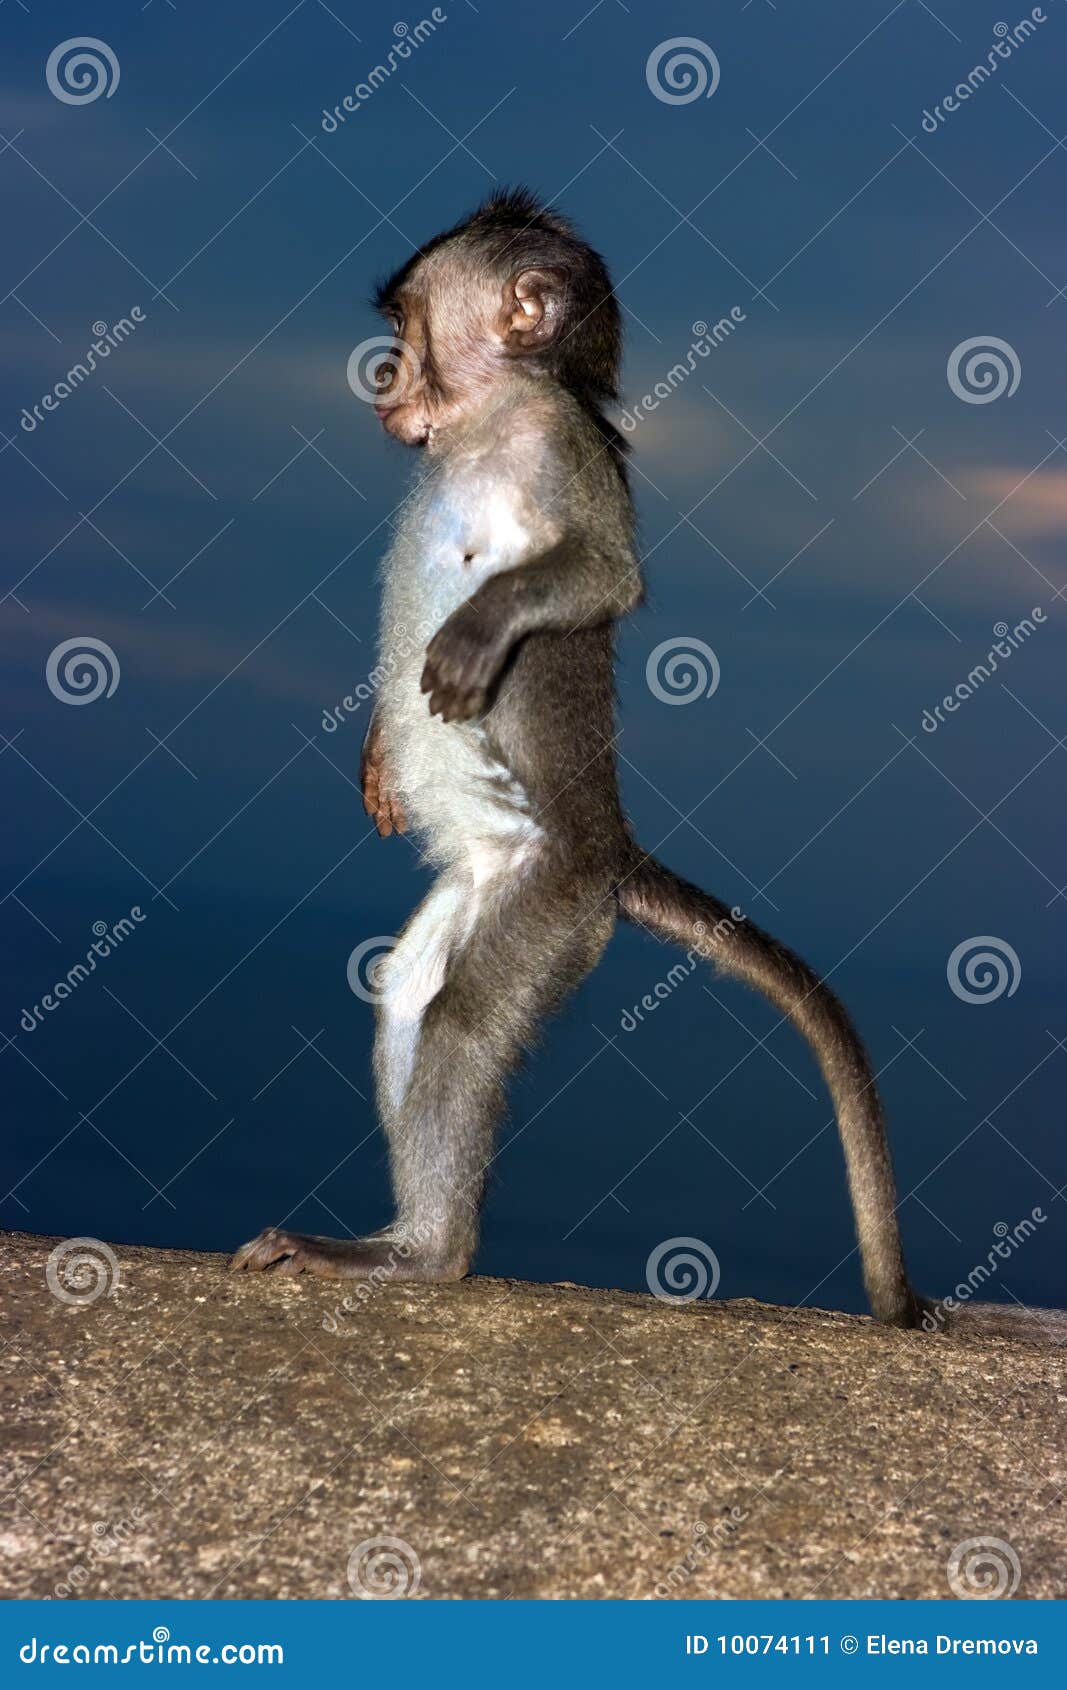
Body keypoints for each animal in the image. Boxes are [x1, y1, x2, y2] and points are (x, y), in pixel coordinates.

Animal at [234, 188, 1062, 1344]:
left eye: (404, 324)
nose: (383, 375)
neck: (488, 419)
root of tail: (612, 850)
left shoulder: (558, 443)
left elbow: (605, 575)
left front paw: (477, 631)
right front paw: (376, 761)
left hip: (552, 898)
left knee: (460, 1020)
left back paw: (423, 1258)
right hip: (496, 888)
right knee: (407, 992)